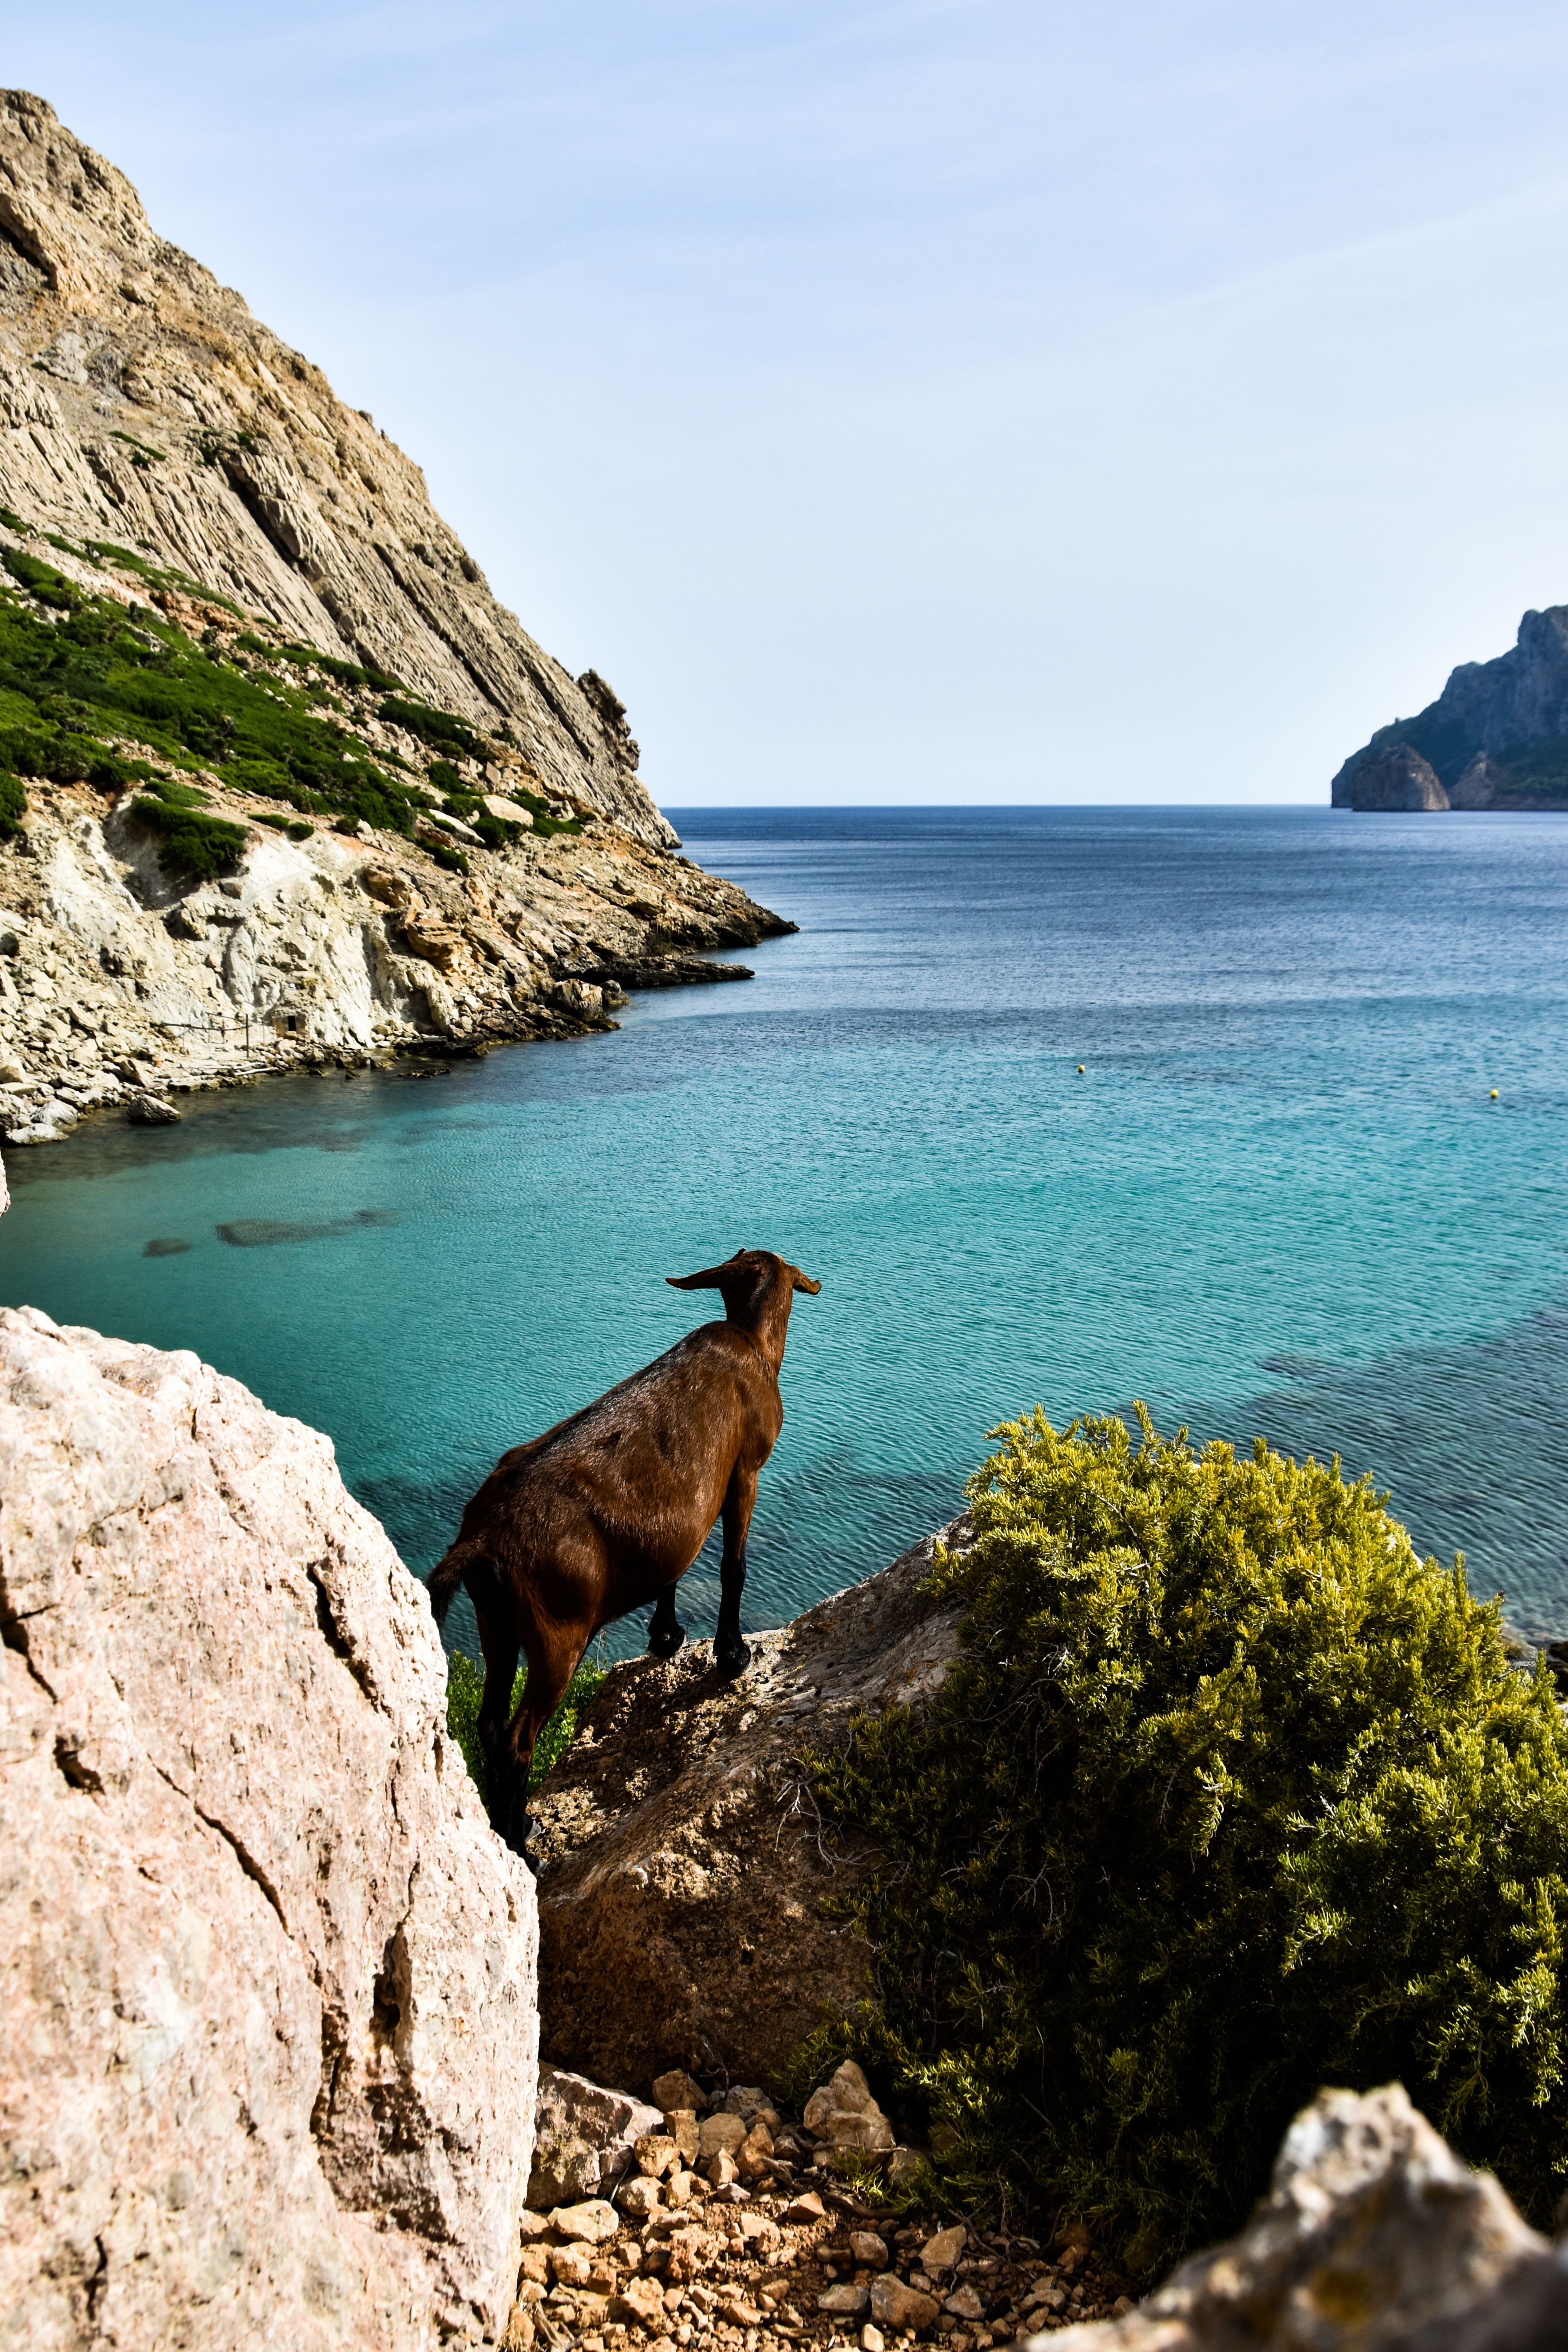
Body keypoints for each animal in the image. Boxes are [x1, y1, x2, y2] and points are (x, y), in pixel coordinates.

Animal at [425, 1248, 821, 1858]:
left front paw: (666, 1635)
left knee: (488, 1724)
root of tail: (482, 1539)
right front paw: (732, 1655)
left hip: (495, 1620)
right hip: (557, 1633)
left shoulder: (677, 1515)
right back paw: (523, 1848)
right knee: (518, 1741)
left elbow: (673, 1565)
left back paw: (515, 1828)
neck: (752, 1343)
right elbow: (732, 1566)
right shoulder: (745, 1469)